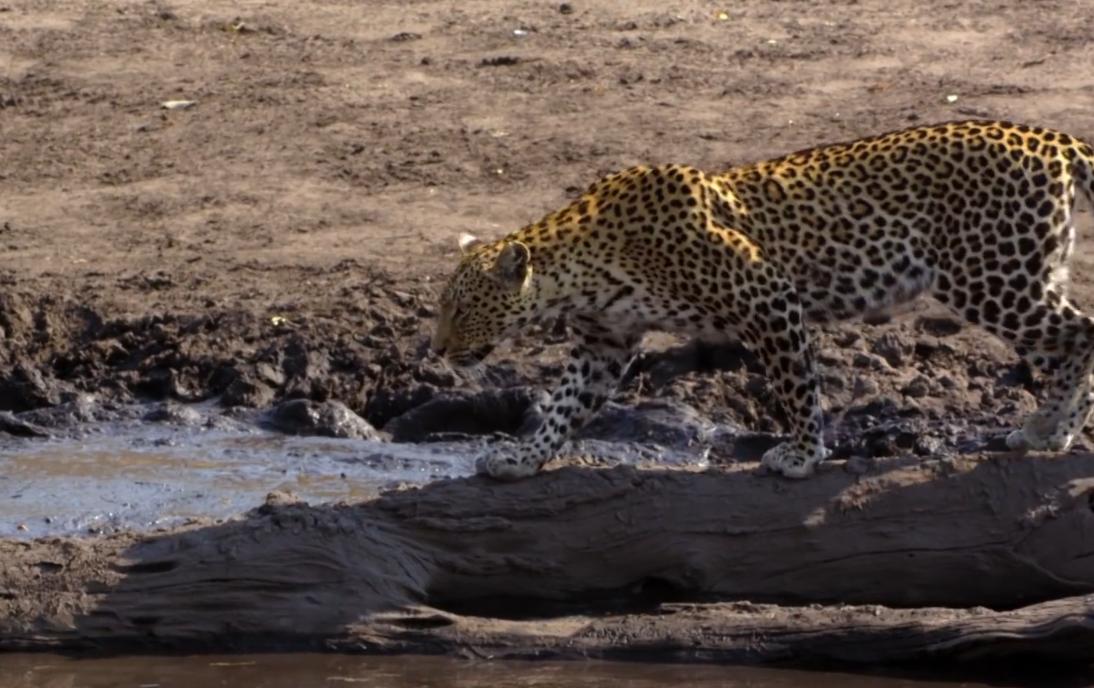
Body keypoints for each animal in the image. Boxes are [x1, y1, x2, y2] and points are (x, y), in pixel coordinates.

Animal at [432, 120, 1094, 480]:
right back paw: (1046, 432)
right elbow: (564, 407)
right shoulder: (603, 342)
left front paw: (801, 454)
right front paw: (522, 458)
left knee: (1084, 331)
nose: (435, 350)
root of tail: (1051, 138)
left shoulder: (768, 295)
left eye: (460, 309)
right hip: (1027, 276)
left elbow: (795, 385)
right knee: (1068, 342)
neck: (580, 269)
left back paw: (1057, 432)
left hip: (990, 280)